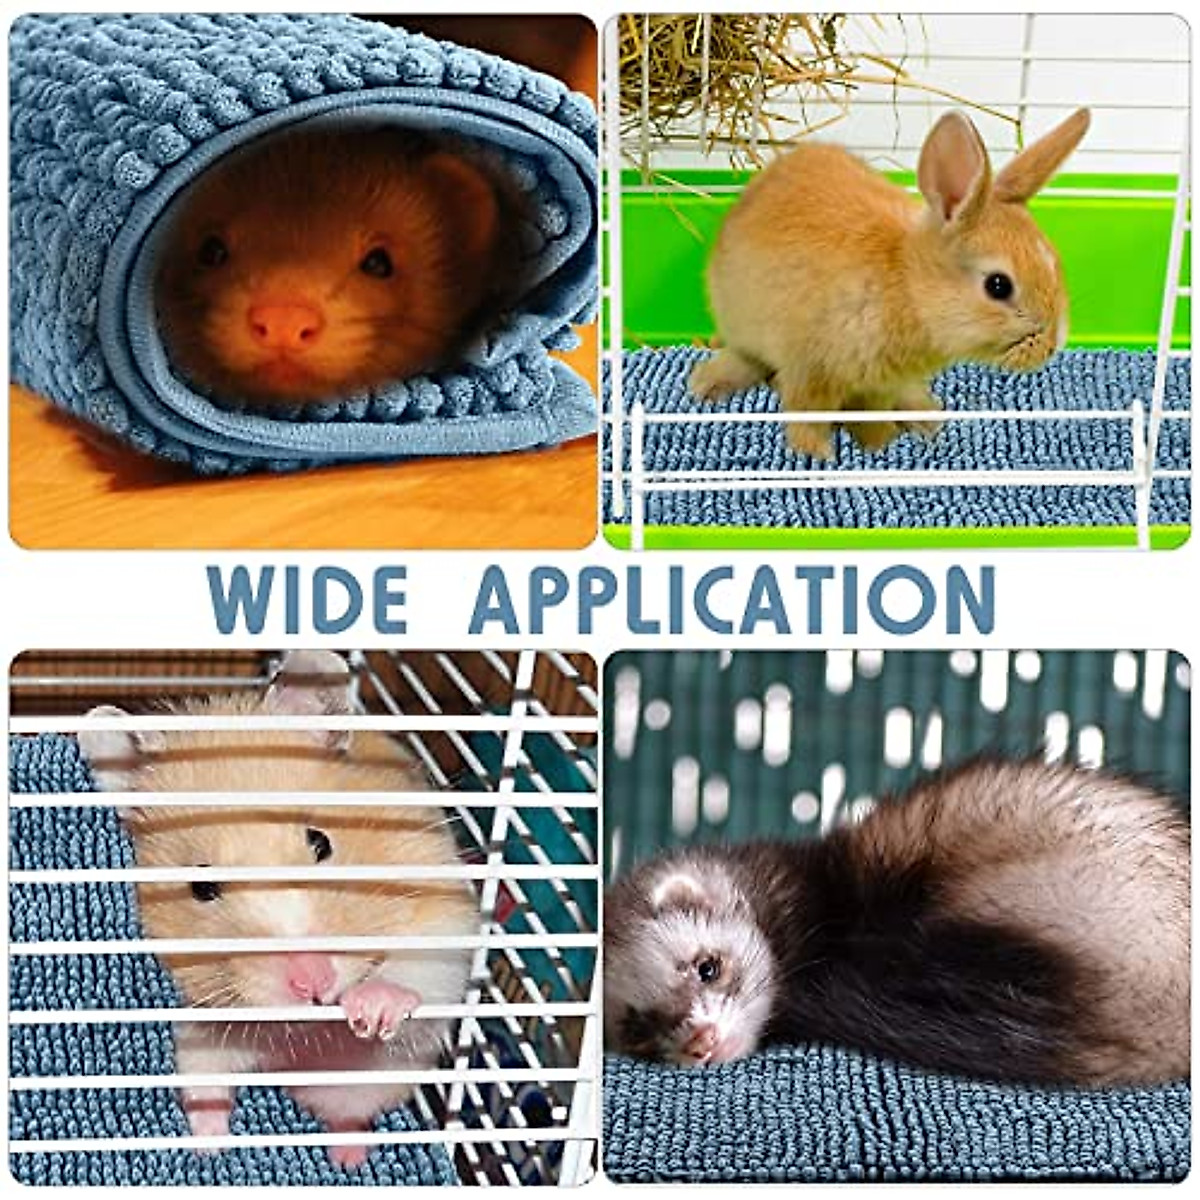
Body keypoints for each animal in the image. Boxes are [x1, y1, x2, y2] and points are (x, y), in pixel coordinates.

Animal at [77, 651, 477, 1167]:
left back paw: (348, 1158)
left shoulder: (443, 908)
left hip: (371, 1079)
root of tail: (289, 1069)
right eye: (202, 888)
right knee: (208, 1086)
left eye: (320, 842)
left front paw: (371, 1010)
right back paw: (216, 1147)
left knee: (351, 1113)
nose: (313, 983)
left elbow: (417, 968)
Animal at [689, 108, 1091, 458]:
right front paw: (818, 455)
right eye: (998, 286)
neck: (908, 288)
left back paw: (925, 416)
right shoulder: (811, 371)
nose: (1054, 345)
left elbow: (872, 416)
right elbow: (807, 416)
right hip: (740, 322)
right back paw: (706, 385)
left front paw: (878, 444)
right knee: (745, 358)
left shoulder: (877, 386)